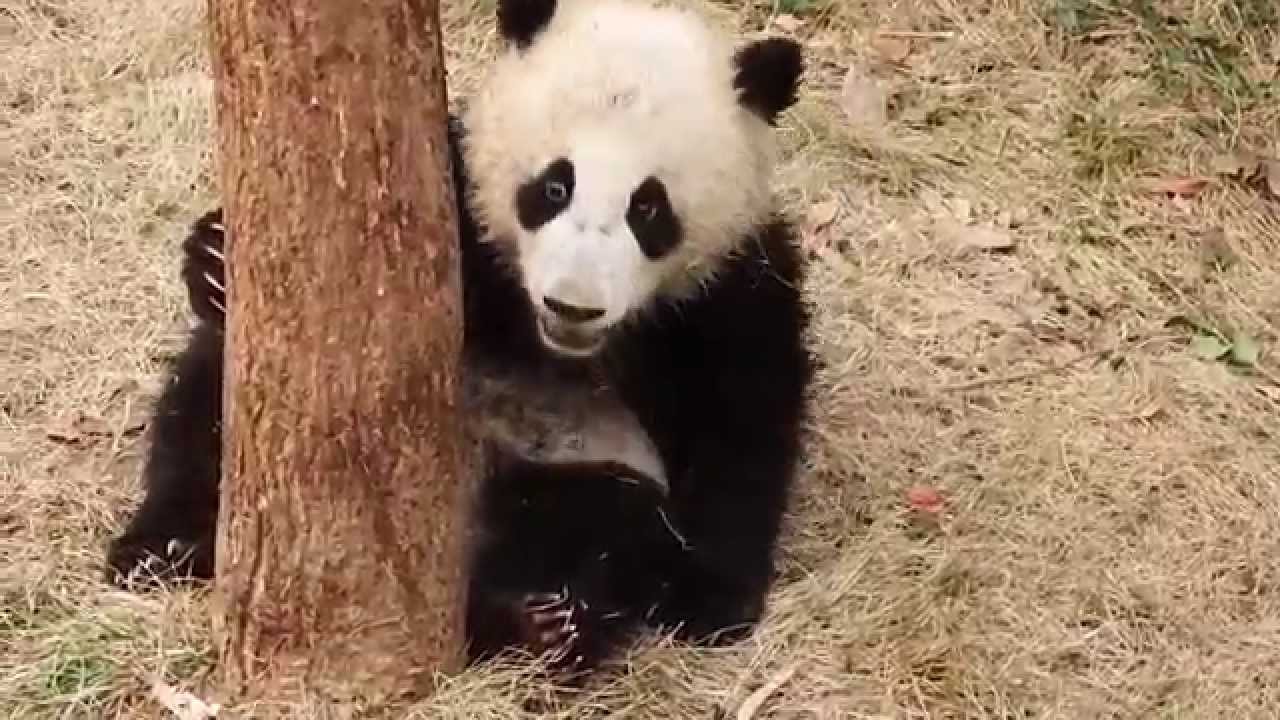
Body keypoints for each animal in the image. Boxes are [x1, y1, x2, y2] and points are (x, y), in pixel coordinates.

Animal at [106, 0, 812, 676]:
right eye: (554, 186)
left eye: (648, 207)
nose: (572, 305)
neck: (555, 344)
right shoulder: (456, 208)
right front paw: (213, 259)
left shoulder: (729, 292)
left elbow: (744, 424)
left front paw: (708, 598)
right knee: (204, 404)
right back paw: (165, 544)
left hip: (578, 470)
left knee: (598, 526)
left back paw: (543, 624)